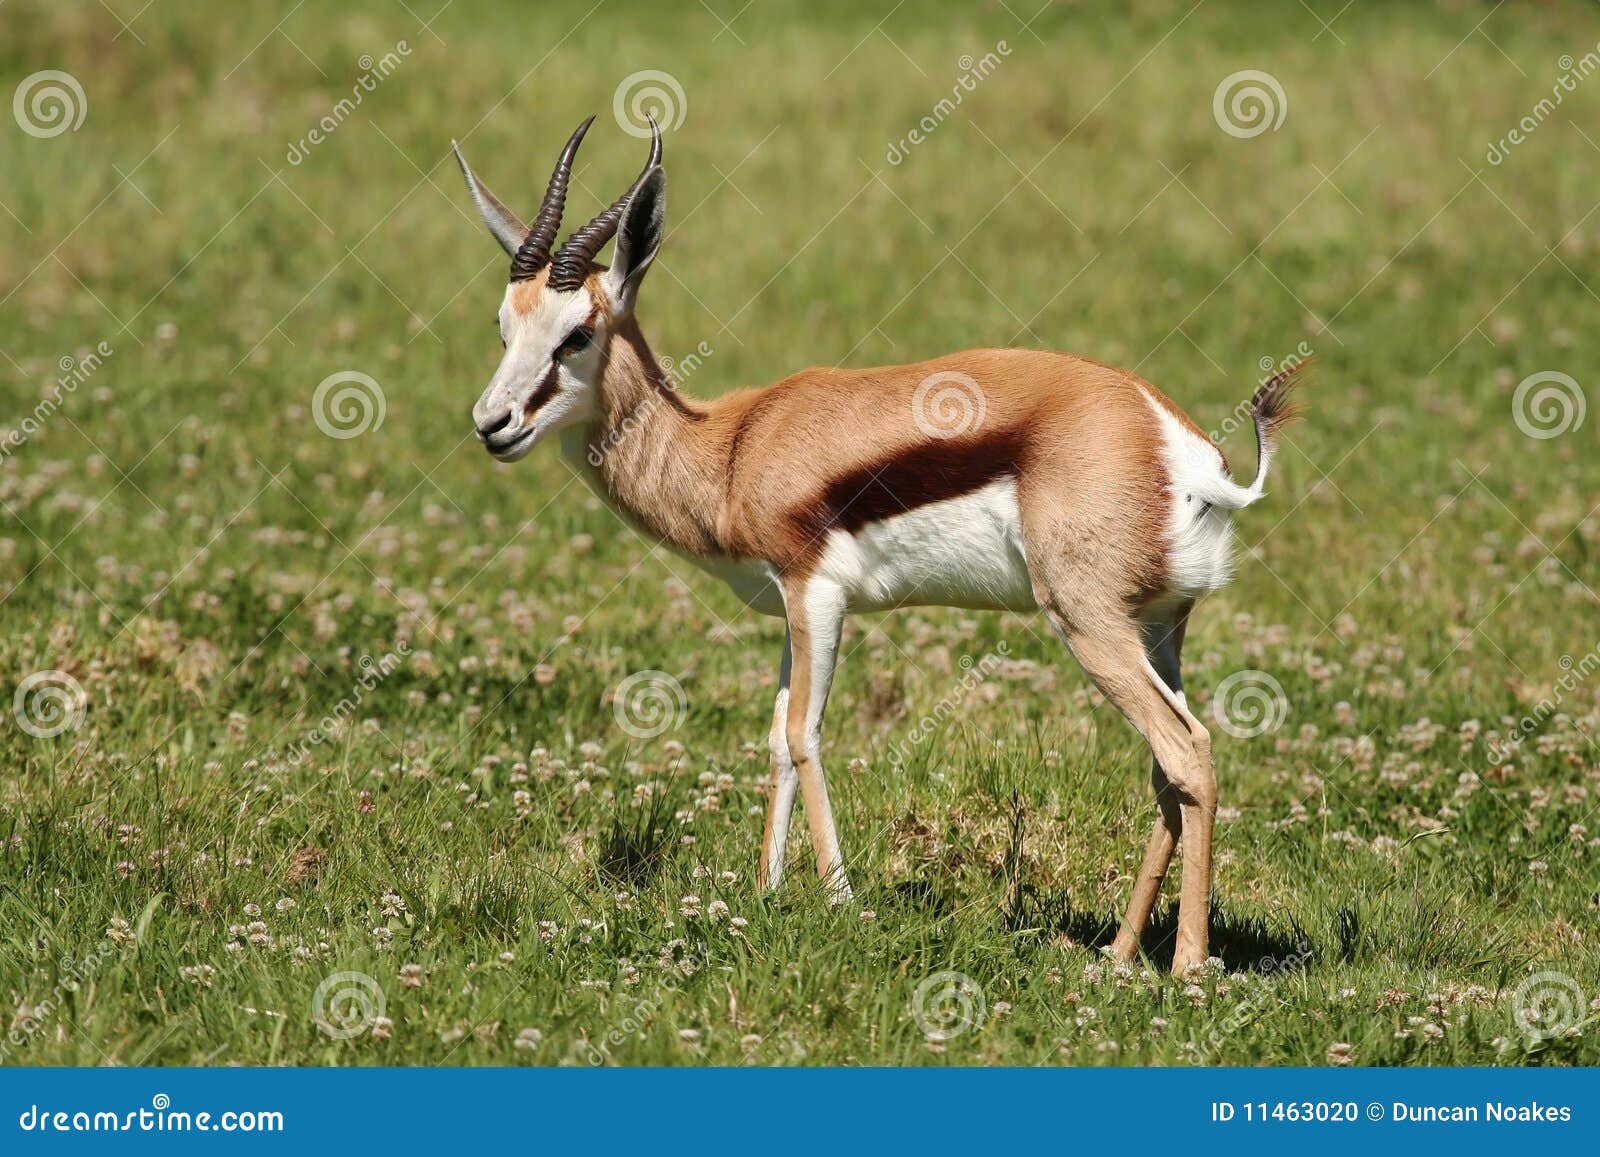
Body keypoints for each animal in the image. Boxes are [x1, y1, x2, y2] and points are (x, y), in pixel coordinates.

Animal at [452, 117, 1304, 972]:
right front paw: (764, 893)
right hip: (1157, 628)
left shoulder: (816, 593)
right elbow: (774, 737)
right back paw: (1121, 950)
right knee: (1169, 770)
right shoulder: (790, 607)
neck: (731, 448)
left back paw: (1186, 963)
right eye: (502, 326)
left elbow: (804, 734)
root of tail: (1183, 450)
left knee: (1188, 751)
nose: (493, 424)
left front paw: (839, 899)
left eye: (577, 333)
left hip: (1088, 623)